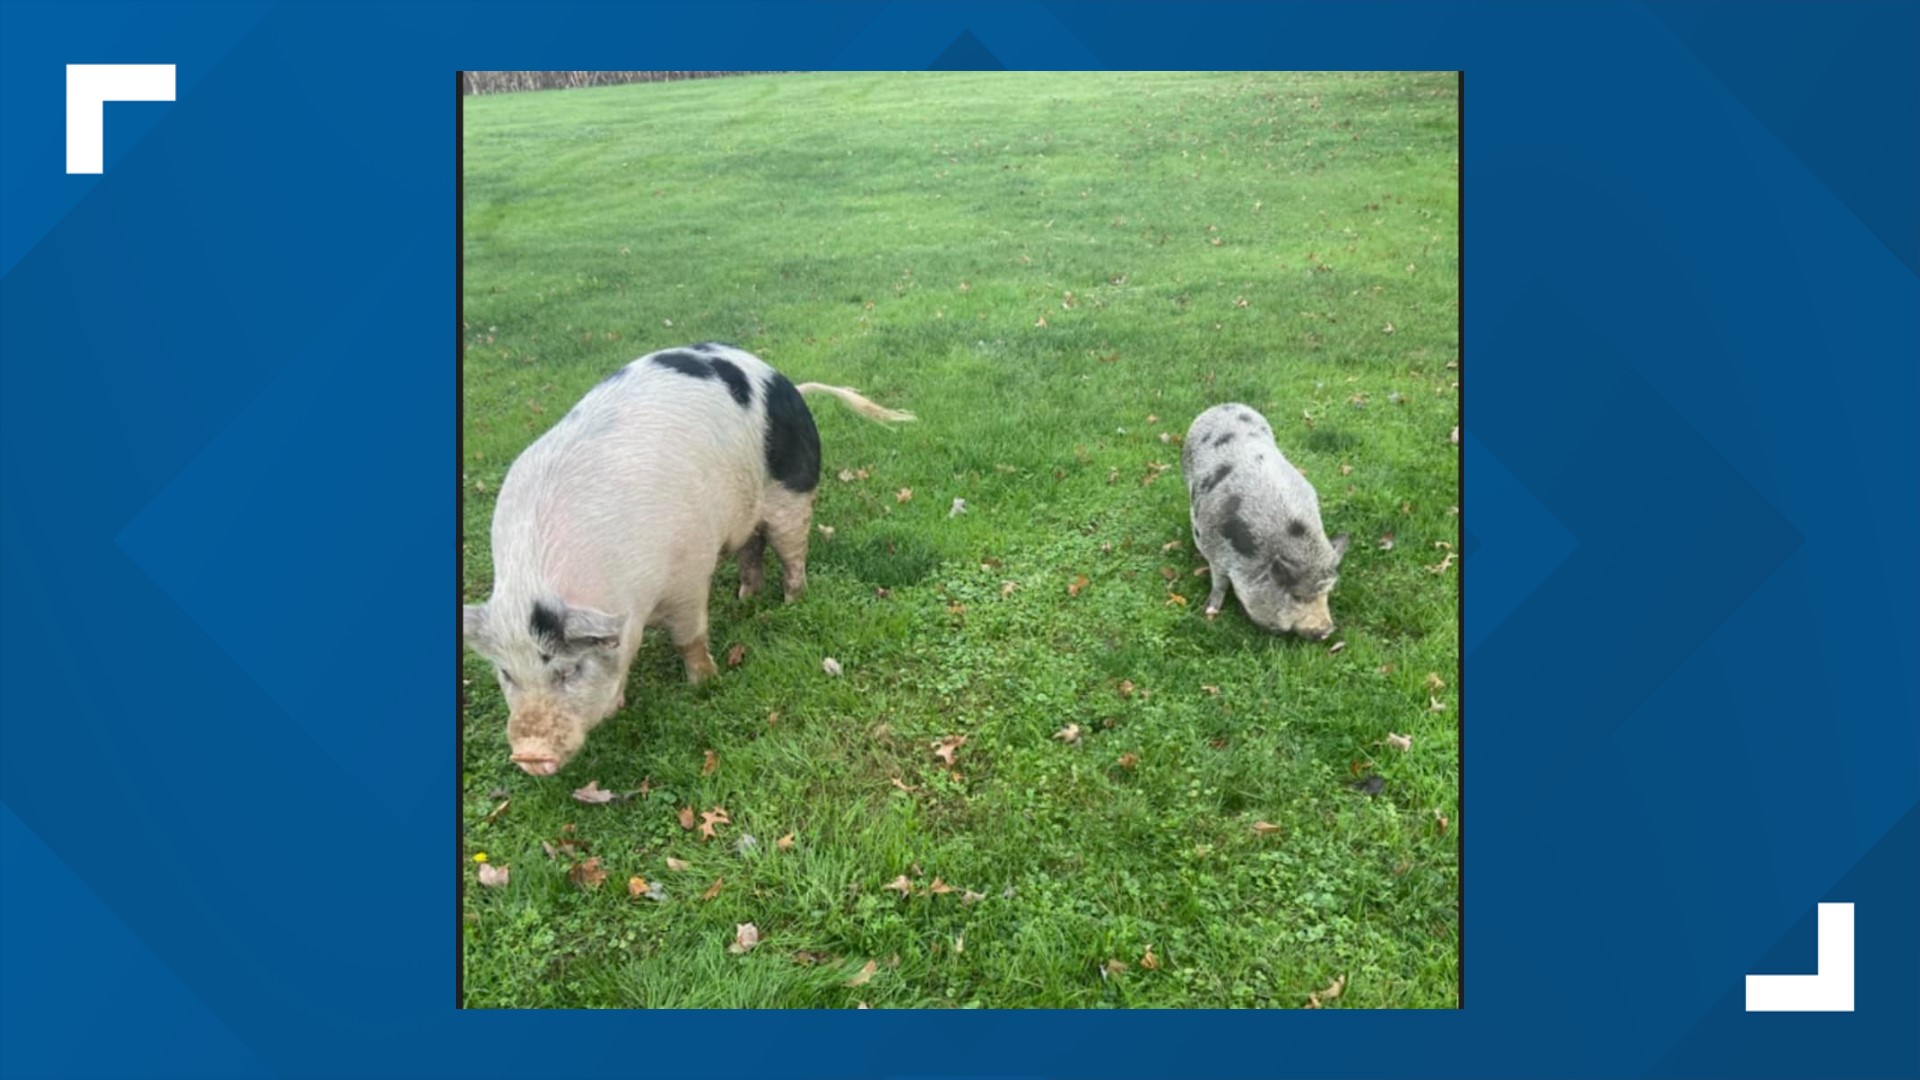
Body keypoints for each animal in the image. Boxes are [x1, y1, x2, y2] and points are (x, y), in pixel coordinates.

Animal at [462, 342, 913, 775]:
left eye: (568, 670)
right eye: (506, 673)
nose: (529, 755)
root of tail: (787, 384)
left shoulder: (688, 575)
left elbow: (689, 637)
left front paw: (704, 683)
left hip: (793, 492)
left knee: (791, 552)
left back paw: (791, 602)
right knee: (752, 547)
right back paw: (745, 598)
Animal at [1180, 403, 1349, 639]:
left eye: (1326, 592)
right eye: (1297, 596)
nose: (1327, 630)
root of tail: (1224, 405)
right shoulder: (1214, 551)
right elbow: (1219, 582)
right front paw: (1210, 610)